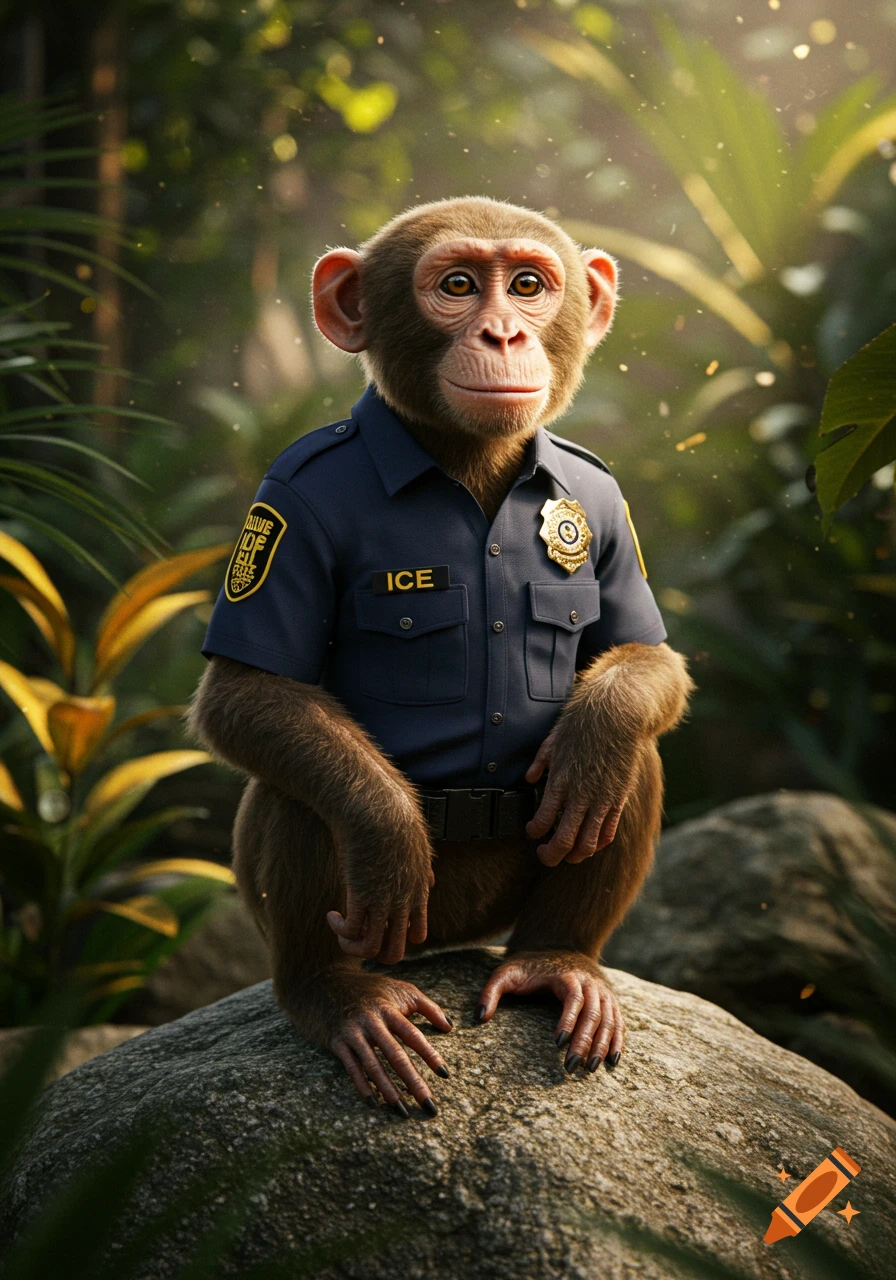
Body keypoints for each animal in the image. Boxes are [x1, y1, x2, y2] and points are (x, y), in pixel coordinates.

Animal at [189, 196, 694, 1118]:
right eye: (457, 287)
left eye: (527, 285)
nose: (502, 332)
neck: (465, 459)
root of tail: (448, 950)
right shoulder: (287, 500)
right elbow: (250, 688)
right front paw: (389, 825)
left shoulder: (606, 498)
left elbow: (640, 653)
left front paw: (596, 734)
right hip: (382, 925)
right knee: (300, 786)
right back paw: (339, 996)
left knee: (625, 770)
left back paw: (558, 960)